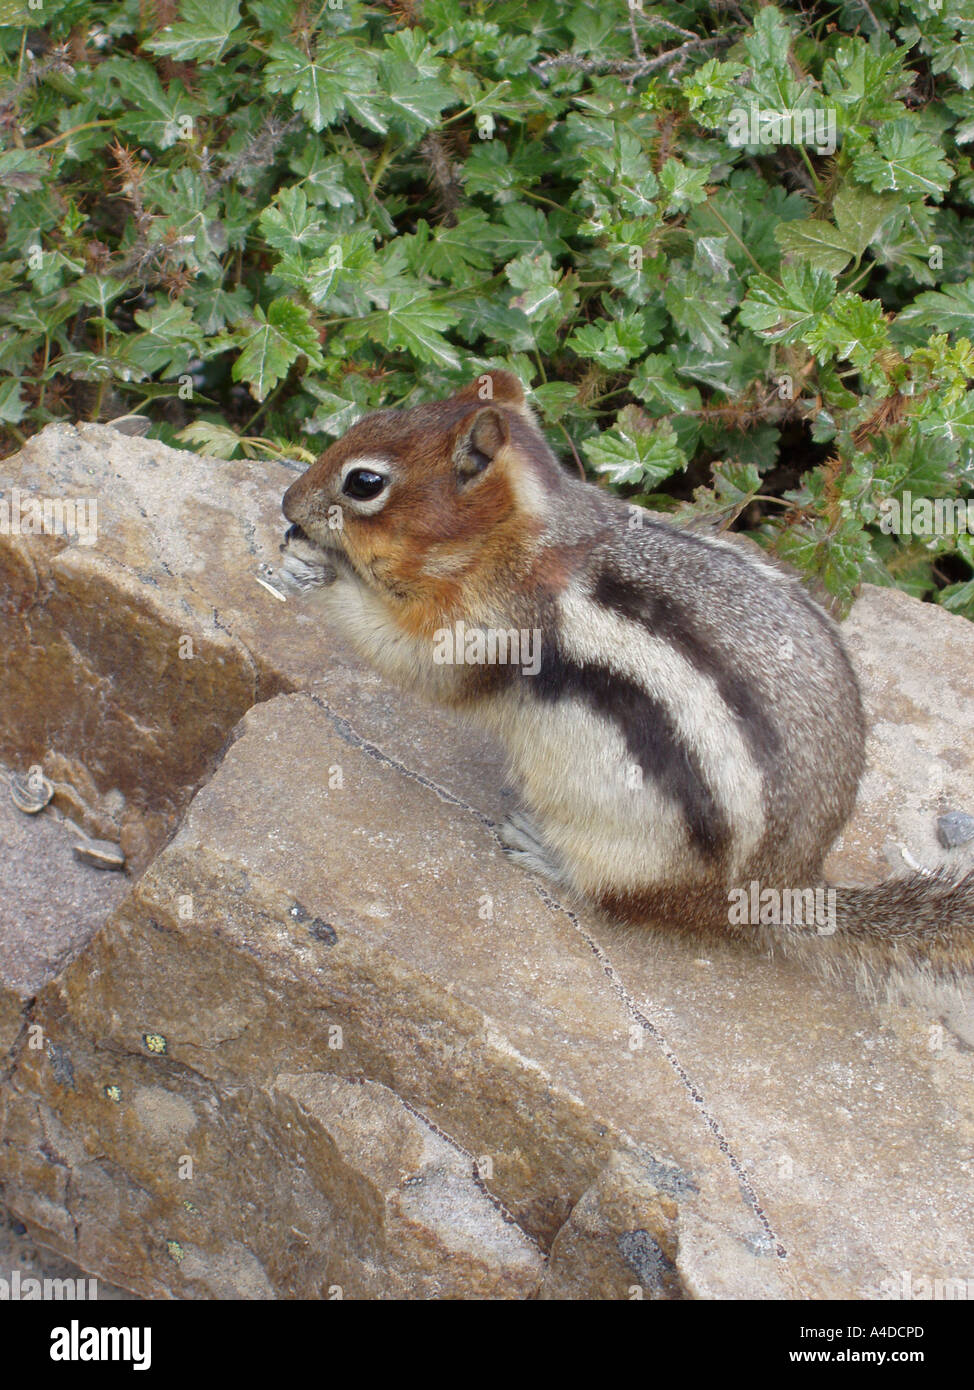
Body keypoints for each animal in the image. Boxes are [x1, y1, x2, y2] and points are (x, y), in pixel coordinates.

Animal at [281, 370, 974, 985]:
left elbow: (420, 664)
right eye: (366, 419)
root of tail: (784, 890)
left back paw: (541, 850)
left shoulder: (492, 624)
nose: (287, 503)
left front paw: (320, 572)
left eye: (364, 482)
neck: (511, 537)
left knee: (611, 894)